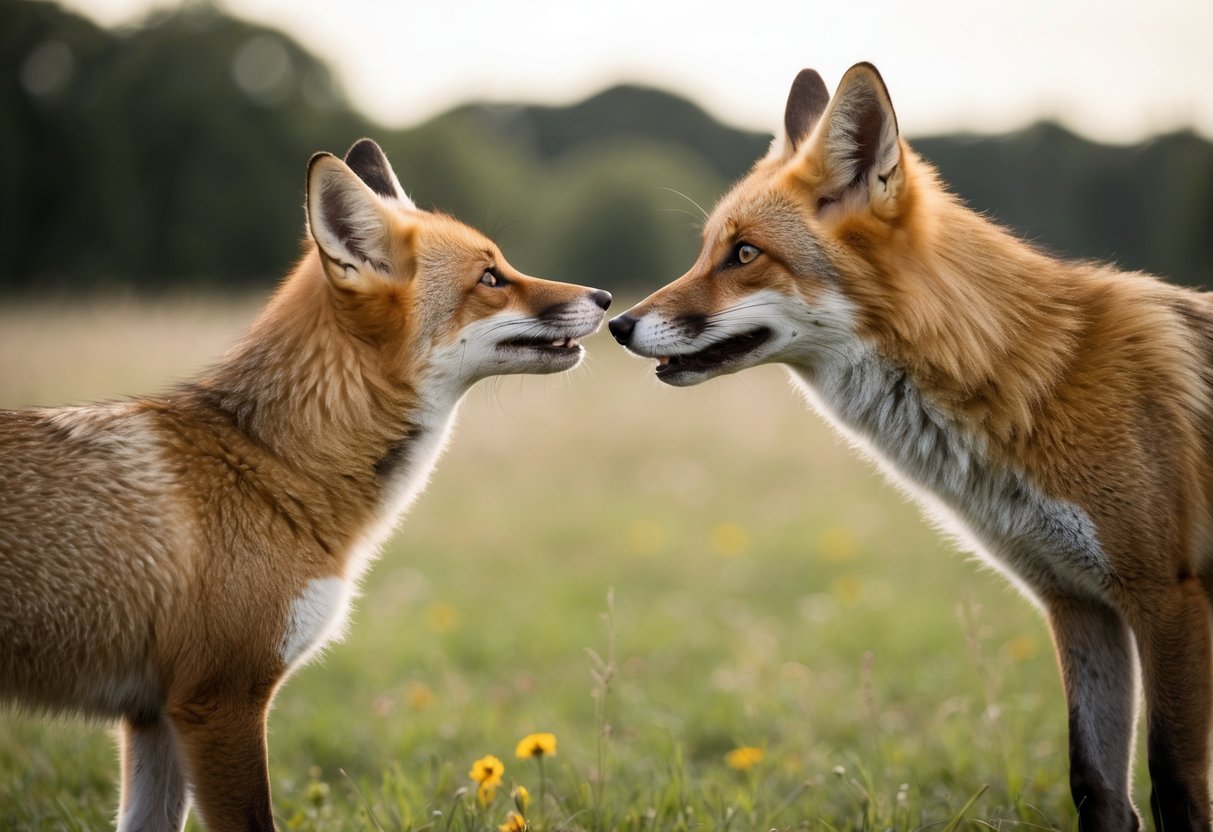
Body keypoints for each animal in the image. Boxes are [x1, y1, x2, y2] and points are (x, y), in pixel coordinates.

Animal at [0, 138, 610, 831]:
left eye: (503, 266)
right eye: (491, 278)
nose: (605, 297)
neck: (274, 467)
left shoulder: (155, 716)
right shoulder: (221, 699)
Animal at [609, 63, 1213, 830]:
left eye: (743, 254)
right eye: (706, 250)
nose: (617, 323)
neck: (1031, 379)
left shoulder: (1166, 597)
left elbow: (1173, 783)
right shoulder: (1078, 604)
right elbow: (1096, 785)